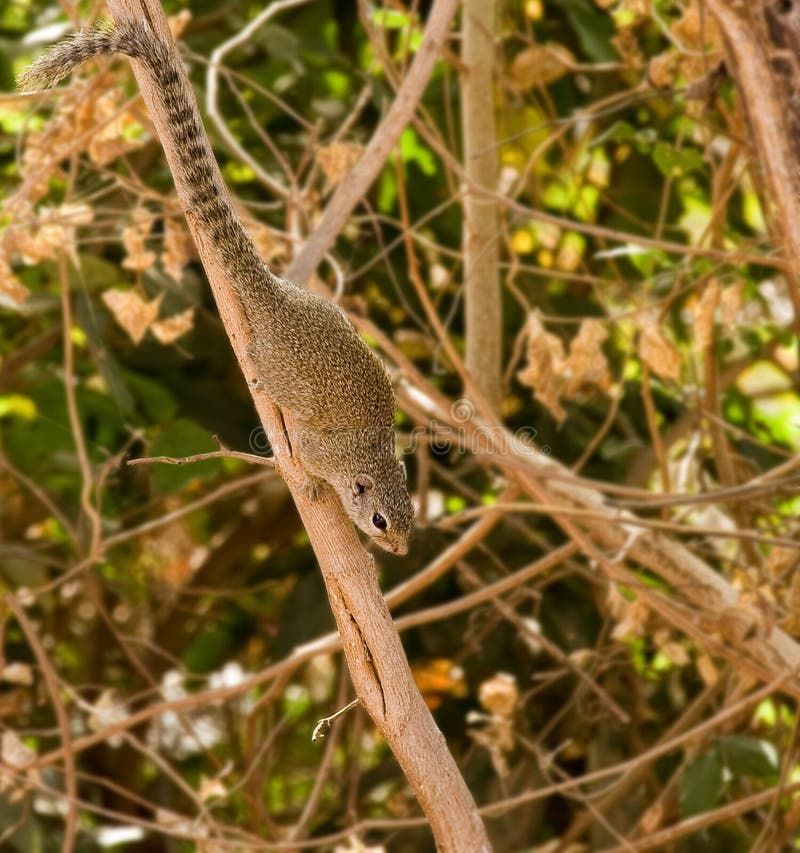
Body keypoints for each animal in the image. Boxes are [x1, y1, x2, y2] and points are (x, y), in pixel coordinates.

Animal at [19, 21, 415, 555]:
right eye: (379, 521)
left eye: (410, 518)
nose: (401, 550)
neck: (365, 457)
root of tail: (276, 297)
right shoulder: (321, 451)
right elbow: (309, 464)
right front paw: (312, 486)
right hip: (278, 368)